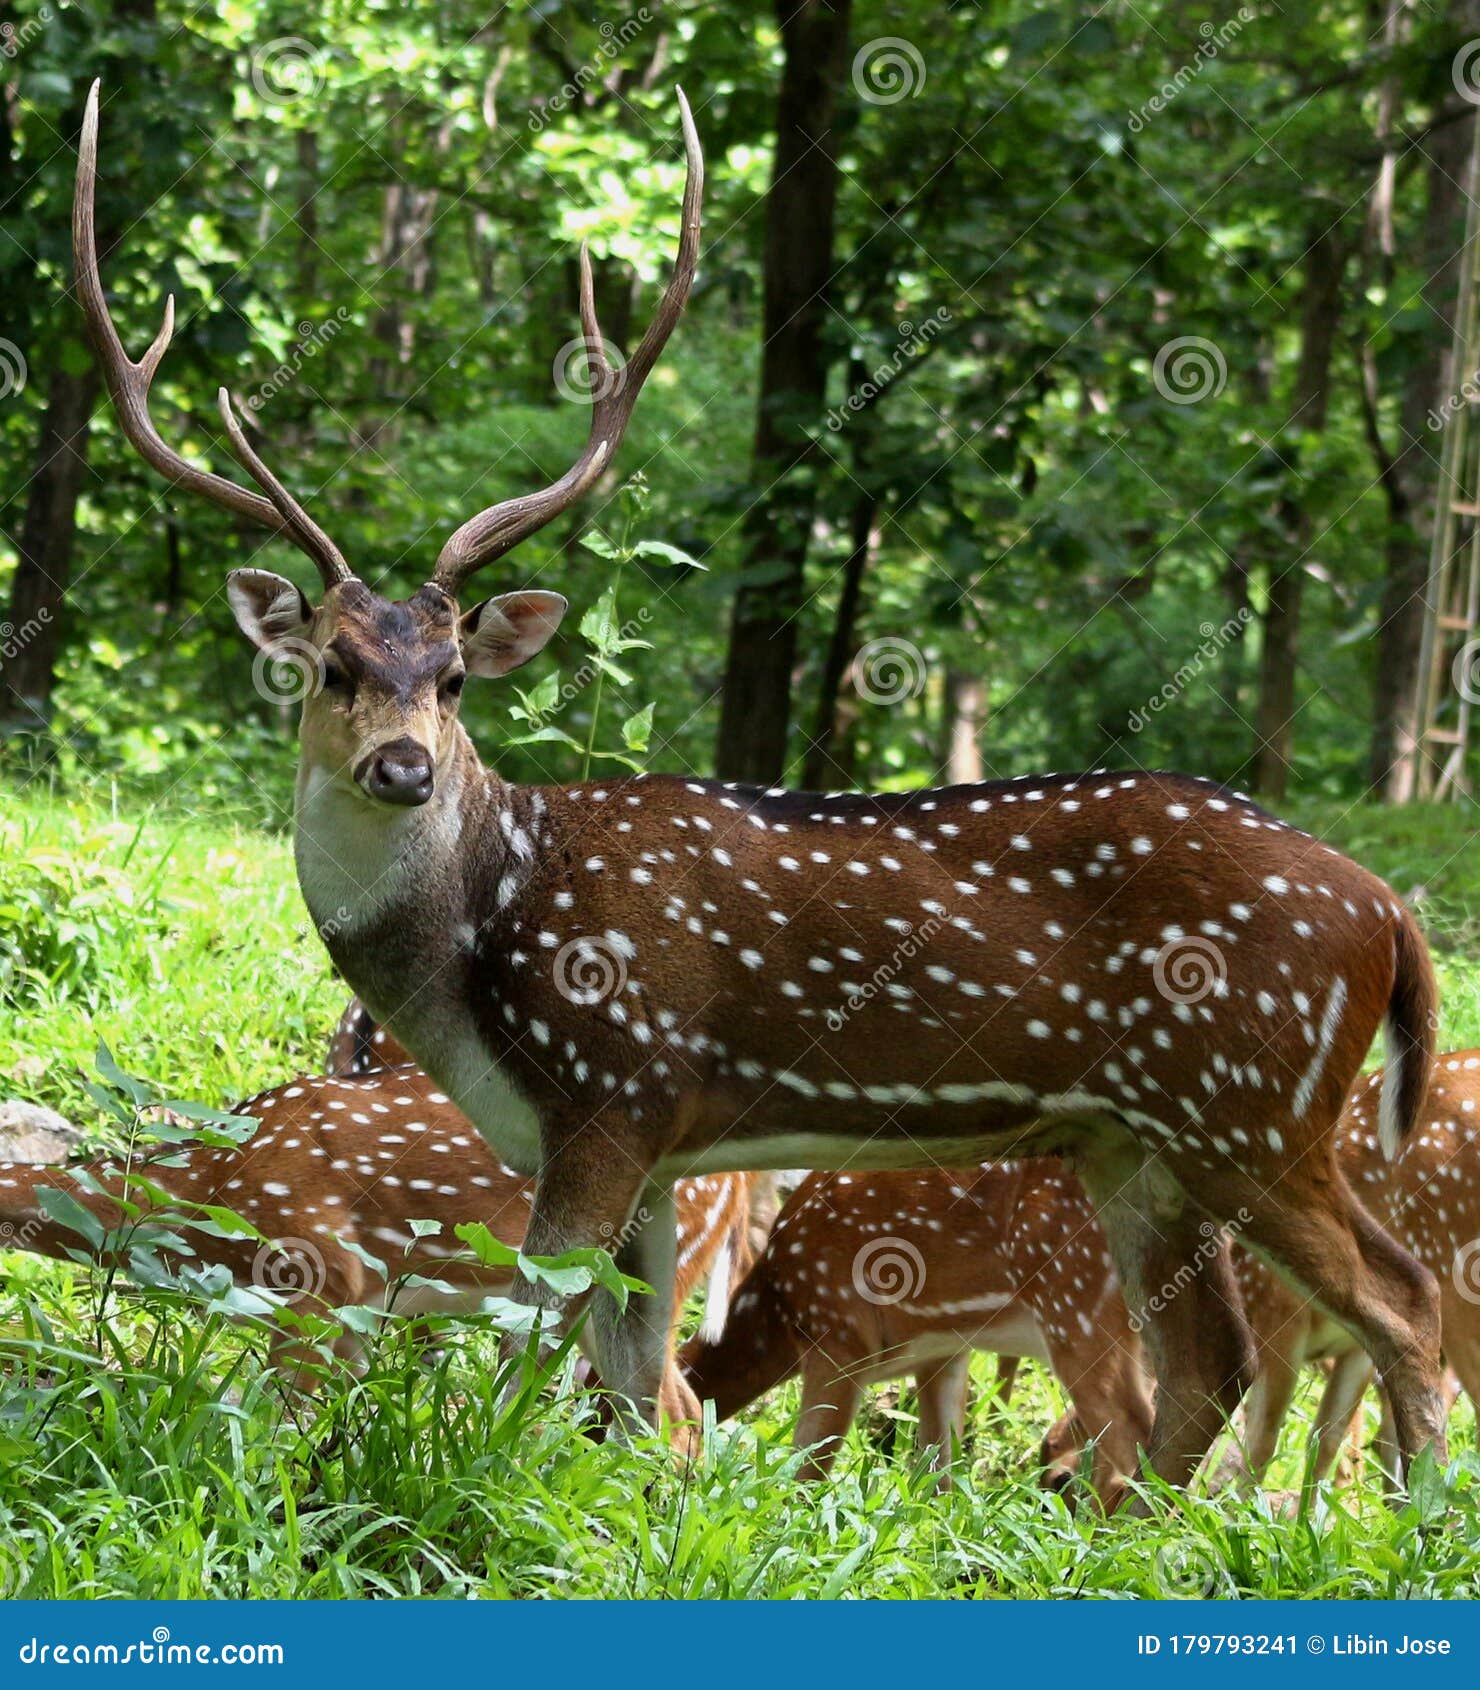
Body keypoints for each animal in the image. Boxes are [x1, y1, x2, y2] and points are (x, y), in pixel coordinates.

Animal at [679, 1158, 1152, 1505]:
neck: (776, 1309)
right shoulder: (942, 1351)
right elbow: (938, 1474)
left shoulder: (839, 1335)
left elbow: (809, 1467)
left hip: (1076, 1301)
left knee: (1130, 1452)